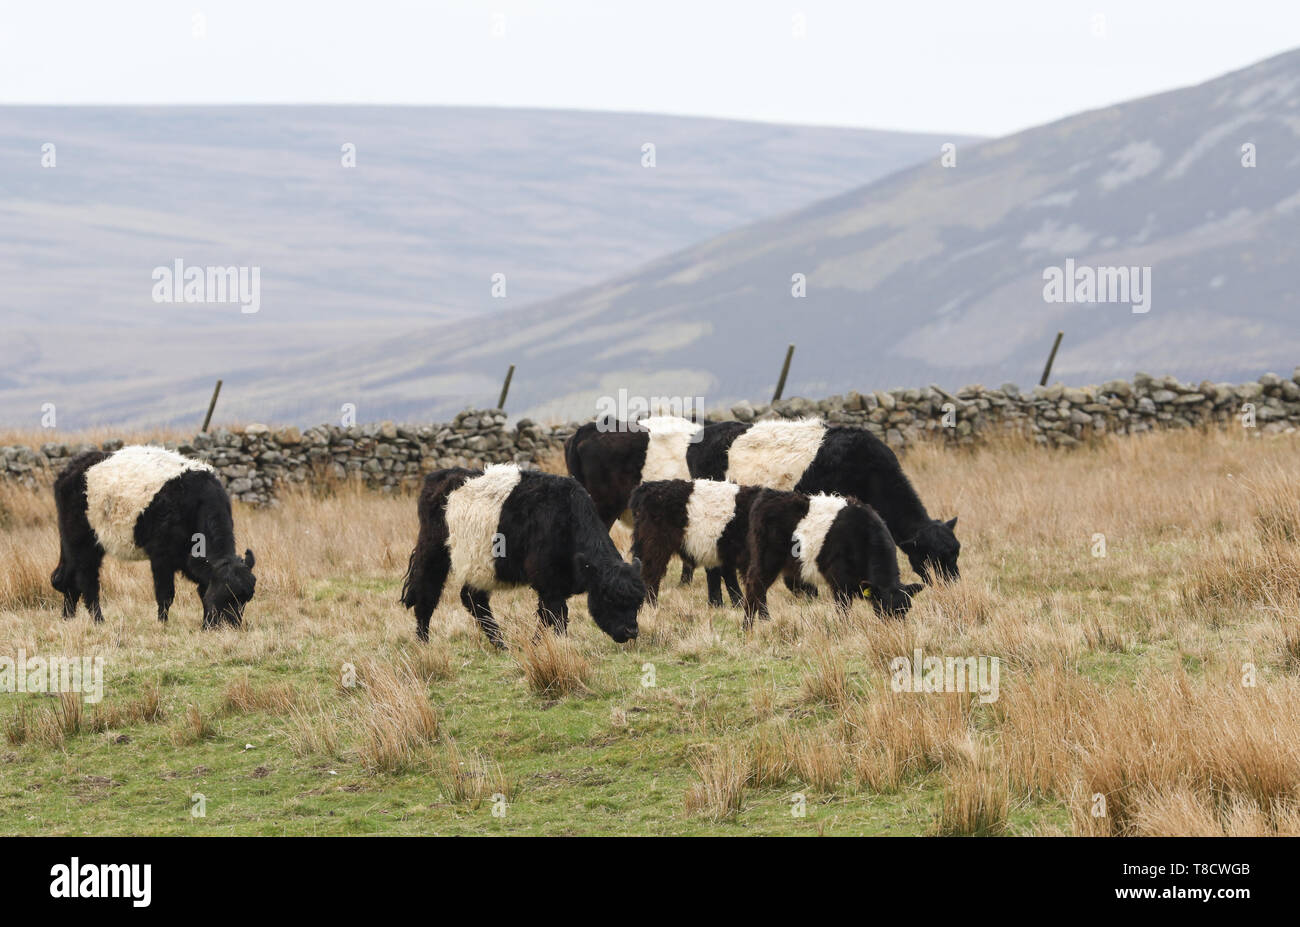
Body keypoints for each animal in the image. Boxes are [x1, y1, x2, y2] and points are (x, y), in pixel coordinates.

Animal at [51, 445, 257, 628]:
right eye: (222, 597)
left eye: (245, 600)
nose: (232, 626)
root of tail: (74, 466)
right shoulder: (161, 555)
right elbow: (165, 595)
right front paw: (162, 624)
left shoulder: (190, 560)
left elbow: (201, 589)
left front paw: (205, 624)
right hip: (82, 542)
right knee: (87, 581)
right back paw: (98, 620)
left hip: (77, 544)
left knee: (66, 579)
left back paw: (68, 619)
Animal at [400, 463, 645, 648]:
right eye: (609, 598)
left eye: (638, 602)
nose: (631, 631)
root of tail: (439, 476)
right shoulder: (547, 580)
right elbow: (557, 615)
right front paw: (559, 645)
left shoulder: (555, 584)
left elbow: (546, 615)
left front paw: (537, 644)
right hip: (433, 552)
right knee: (426, 593)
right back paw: (423, 642)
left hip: (480, 566)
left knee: (472, 598)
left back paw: (500, 644)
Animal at [744, 488, 923, 627]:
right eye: (883, 609)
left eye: (906, 609)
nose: (897, 631)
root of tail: (769, 494)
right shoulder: (840, 581)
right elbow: (843, 609)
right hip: (767, 561)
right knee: (755, 587)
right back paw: (752, 626)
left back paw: (760, 623)